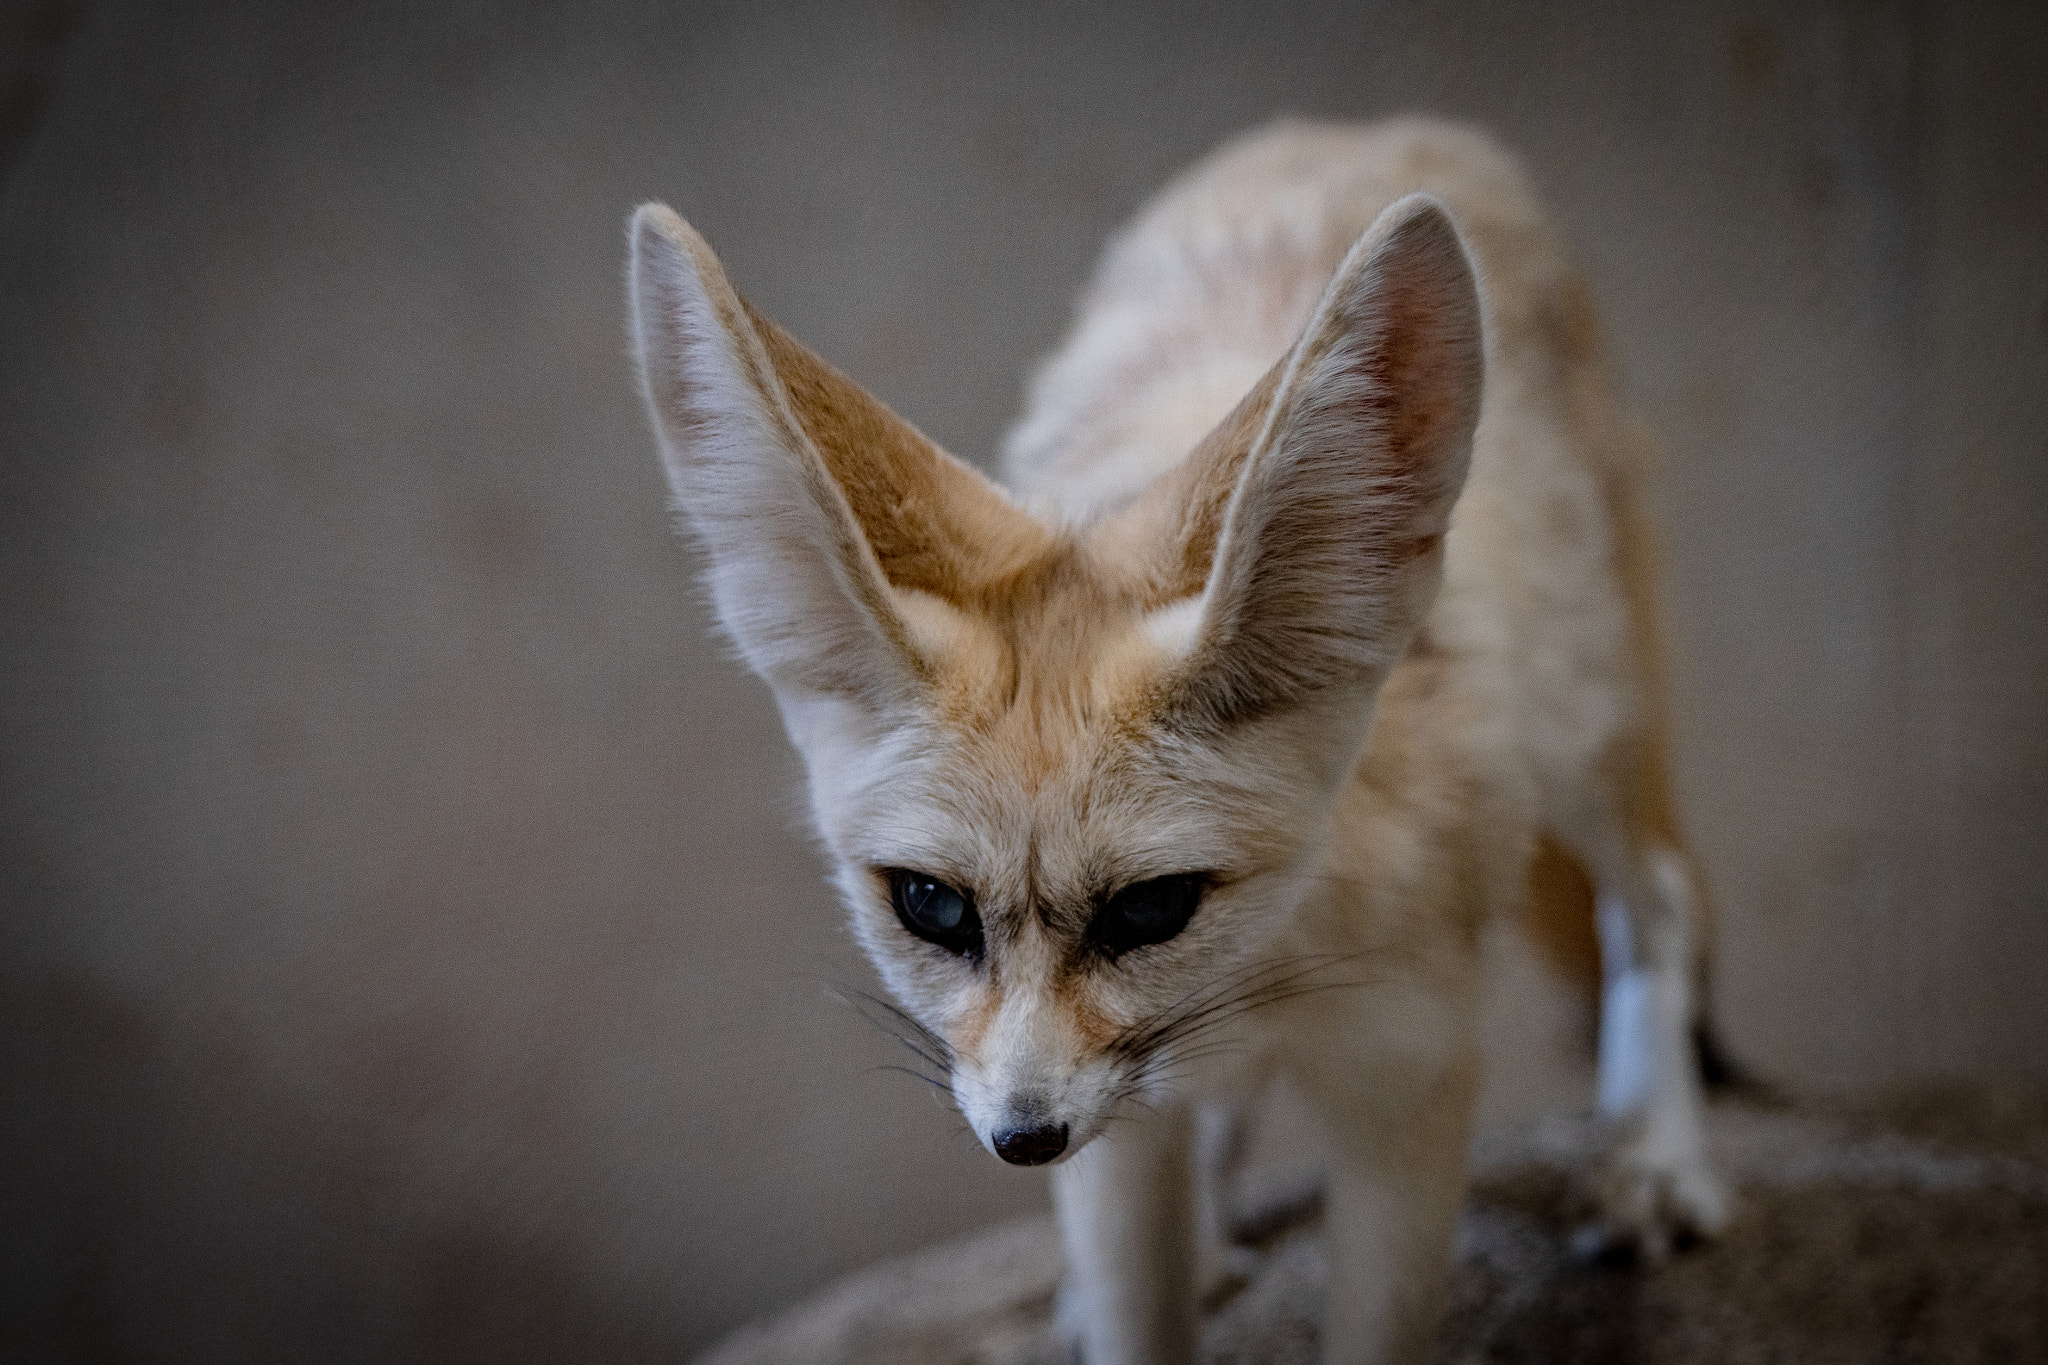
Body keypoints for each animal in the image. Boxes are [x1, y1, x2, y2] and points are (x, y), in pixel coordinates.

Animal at [628, 117, 1731, 1364]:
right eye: (930, 907)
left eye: (1152, 909)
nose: (1022, 1141)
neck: (1264, 970)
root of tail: (1363, 127)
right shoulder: (1116, 1145)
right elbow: (1137, 1299)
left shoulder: (1408, 1082)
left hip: (1587, 727)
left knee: (1656, 896)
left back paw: (1651, 1153)